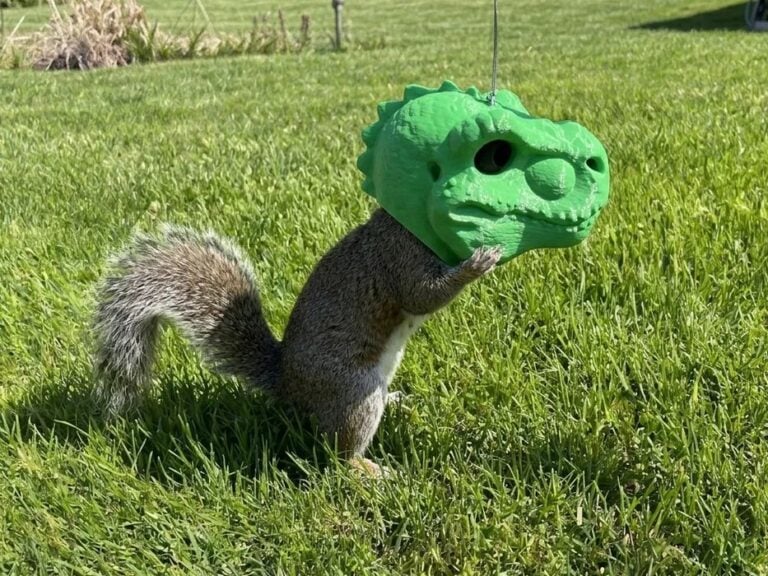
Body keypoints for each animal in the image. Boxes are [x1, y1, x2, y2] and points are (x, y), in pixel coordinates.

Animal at [93, 209, 502, 475]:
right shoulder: (398, 256)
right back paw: (368, 471)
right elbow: (423, 295)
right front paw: (475, 265)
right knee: (339, 454)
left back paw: (398, 402)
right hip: (354, 392)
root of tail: (287, 386)